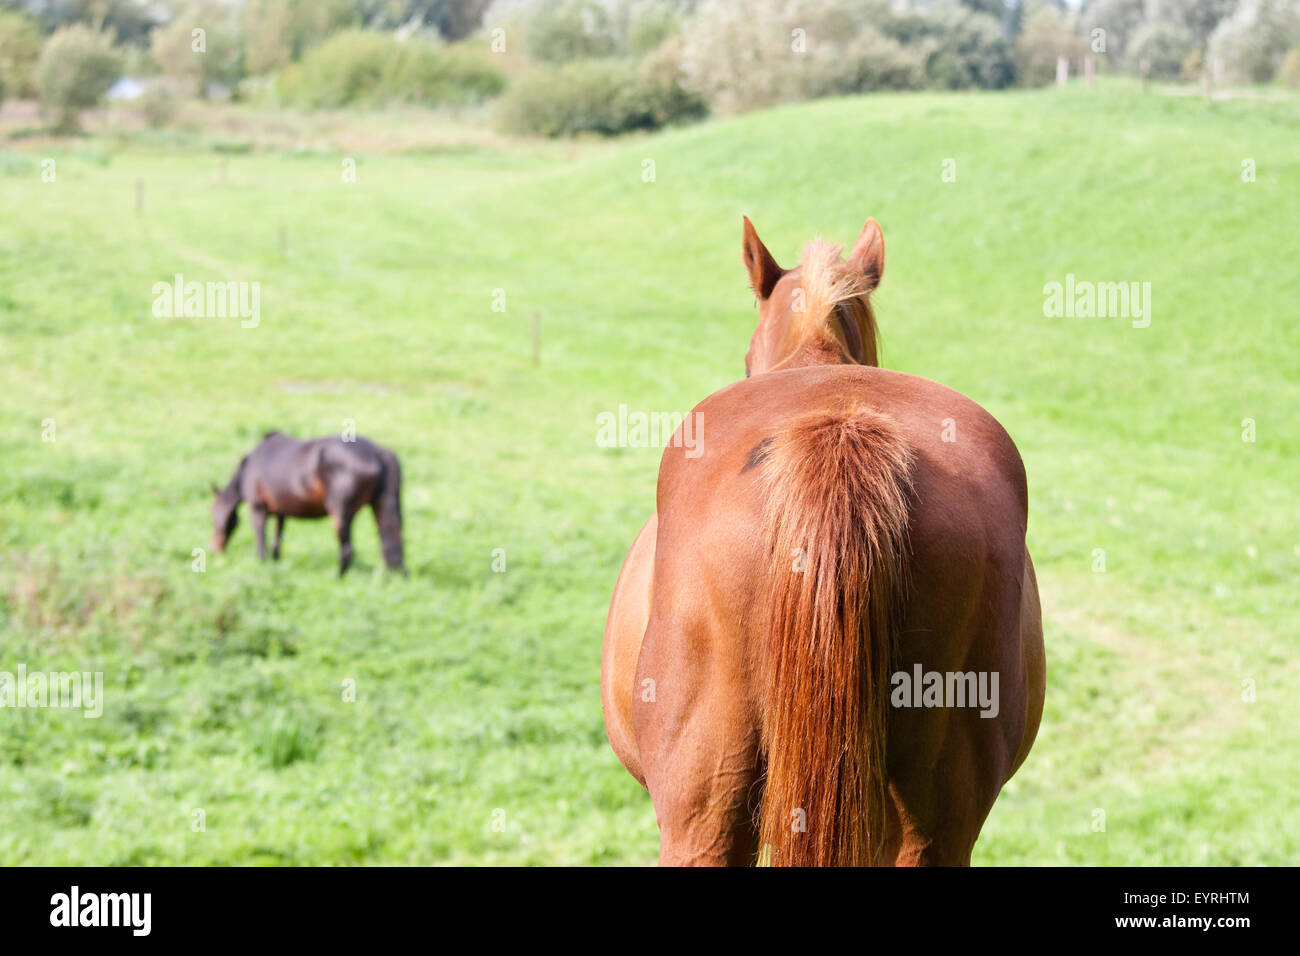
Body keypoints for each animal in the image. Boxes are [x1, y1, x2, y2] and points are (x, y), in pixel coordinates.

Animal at [211, 431, 406, 576]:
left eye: (212, 515)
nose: (214, 550)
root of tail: (379, 453)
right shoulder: (281, 513)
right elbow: (276, 541)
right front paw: (276, 563)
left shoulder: (258, 509)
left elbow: (261, 541)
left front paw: (262, 564)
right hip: (381, 507)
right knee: (392, 545)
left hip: (340, 513)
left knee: (347, 550)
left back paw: (337, 579)